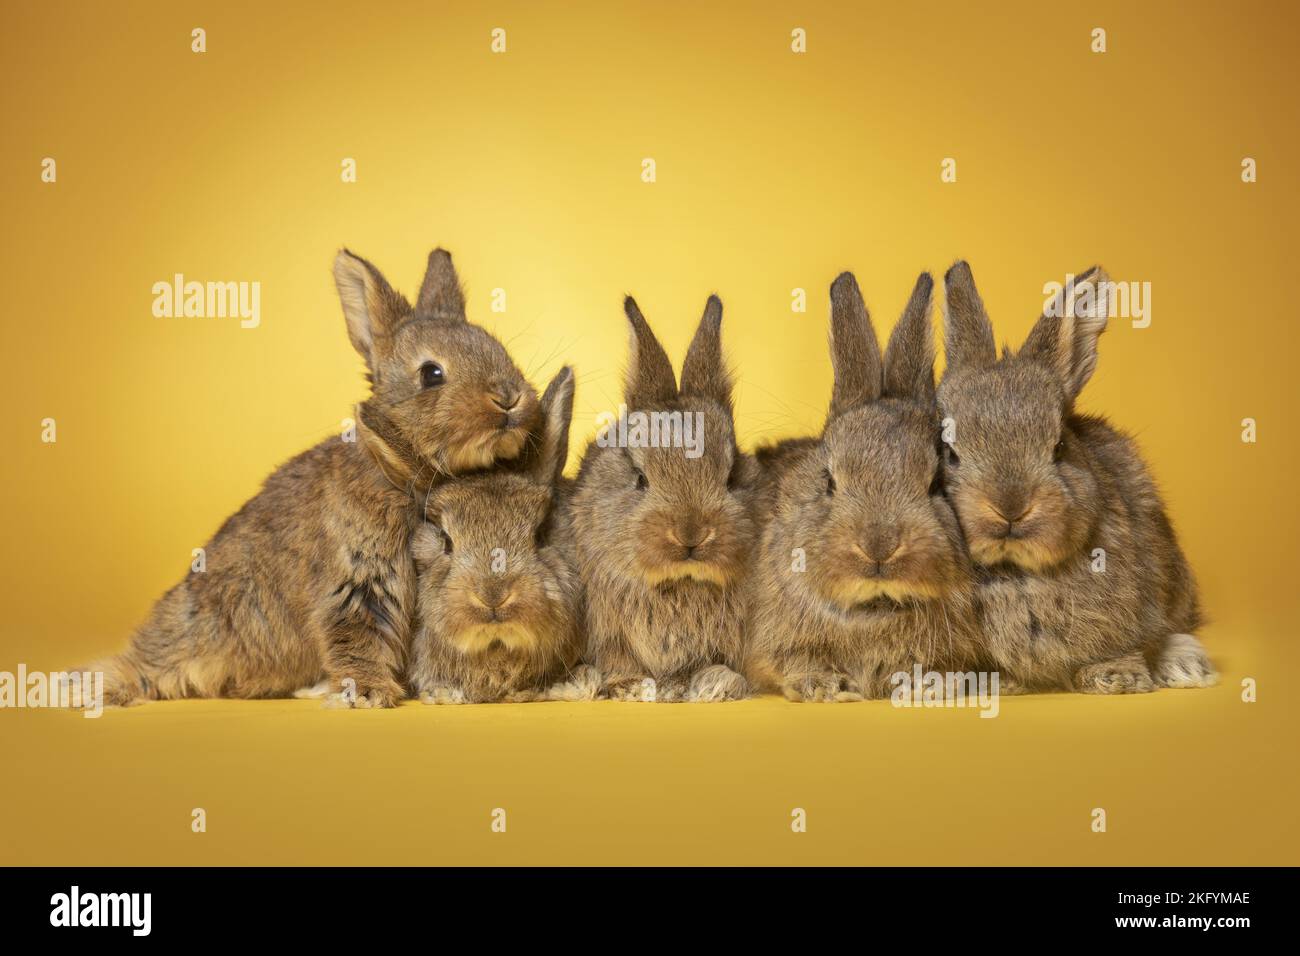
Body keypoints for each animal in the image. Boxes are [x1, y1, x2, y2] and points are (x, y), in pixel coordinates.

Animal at [78, 247, 544, 709]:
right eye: (432, 373)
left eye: (496, 346)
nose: (509, 397)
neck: (398, 467)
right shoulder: (357, 578)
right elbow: (356, 634)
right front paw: (368, 694)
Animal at [937, 261, 1217, 694]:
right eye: (949, 450)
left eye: (1059, 446)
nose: (1010, 507)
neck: (1015, 570)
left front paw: (1118, 677)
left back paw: (1185, 667)